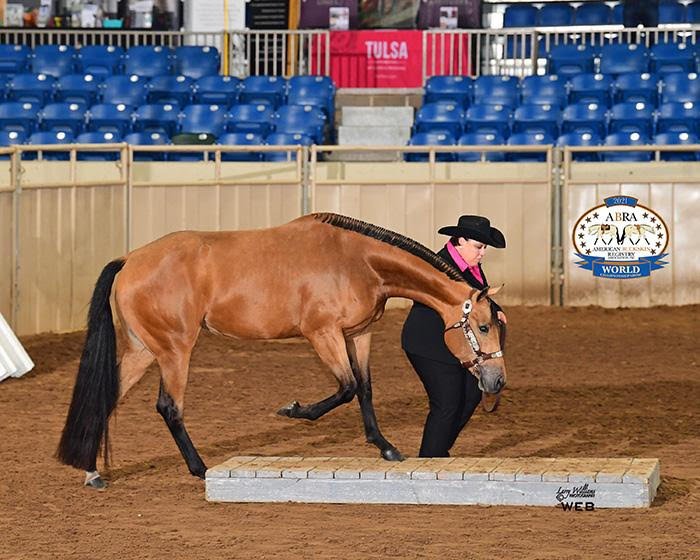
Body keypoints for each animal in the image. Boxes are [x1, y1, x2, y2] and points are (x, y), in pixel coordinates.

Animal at [57, 213, 507, 489]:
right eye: (483, 326)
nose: (496, 381)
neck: (356, 260)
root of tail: (129, 259)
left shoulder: (358, 335)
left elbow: (364, 389)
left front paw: (385, 446)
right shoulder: (322, 334)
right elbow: (345, 388)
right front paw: (293, 411)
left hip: (143, 350)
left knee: (106, 399)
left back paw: (92, 472)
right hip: (174, 350)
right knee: (169, 407)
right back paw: (199, 469)